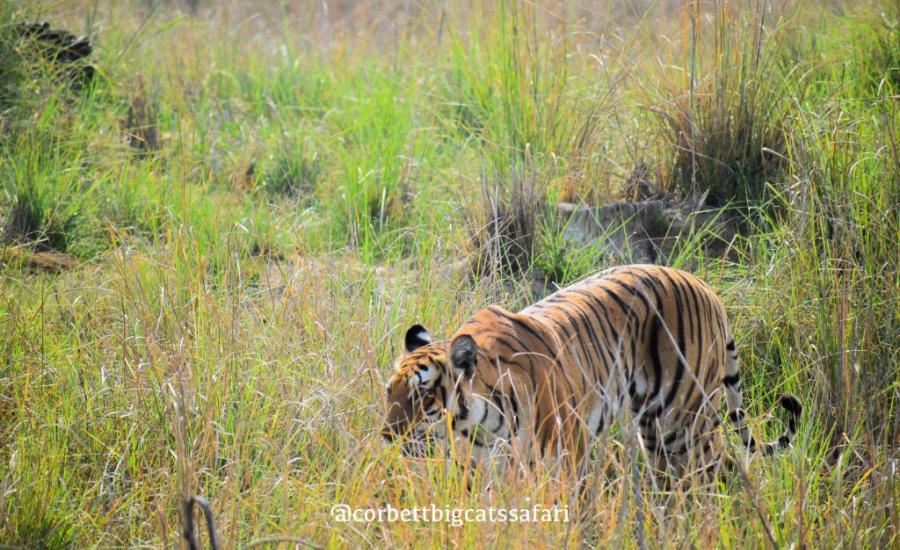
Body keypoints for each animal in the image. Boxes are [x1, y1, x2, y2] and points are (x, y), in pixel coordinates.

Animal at [382, 264, 801, 475]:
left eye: (422, 394)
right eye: (390, 393)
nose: (387, 436)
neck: (480, 424)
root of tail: (706, 287)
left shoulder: (571, 454)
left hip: (682, 422)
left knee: (714, 472)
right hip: (660, 430)